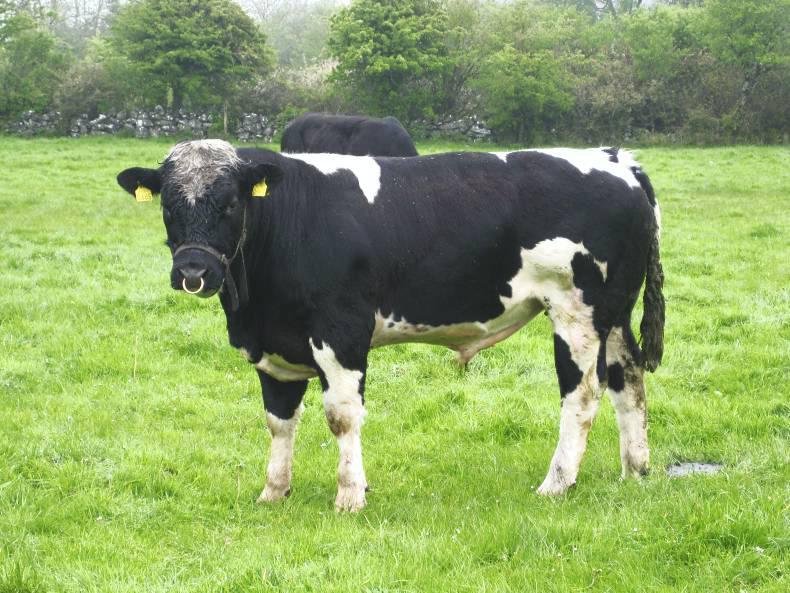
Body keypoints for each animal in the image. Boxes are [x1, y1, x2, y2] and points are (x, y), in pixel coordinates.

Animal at [116, 140, 665, 512]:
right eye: (168, 205)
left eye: (231, 202)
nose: (194, 272)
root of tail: (615, 159)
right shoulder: (274, 347)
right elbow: (279, 420)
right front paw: (274, 492)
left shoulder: (340, 332)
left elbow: (341, 417)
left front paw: (350, 496)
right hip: (614, 315)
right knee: (629, 381)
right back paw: (635, 470)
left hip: (577, 312)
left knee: (583, 394)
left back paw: (557, 483)